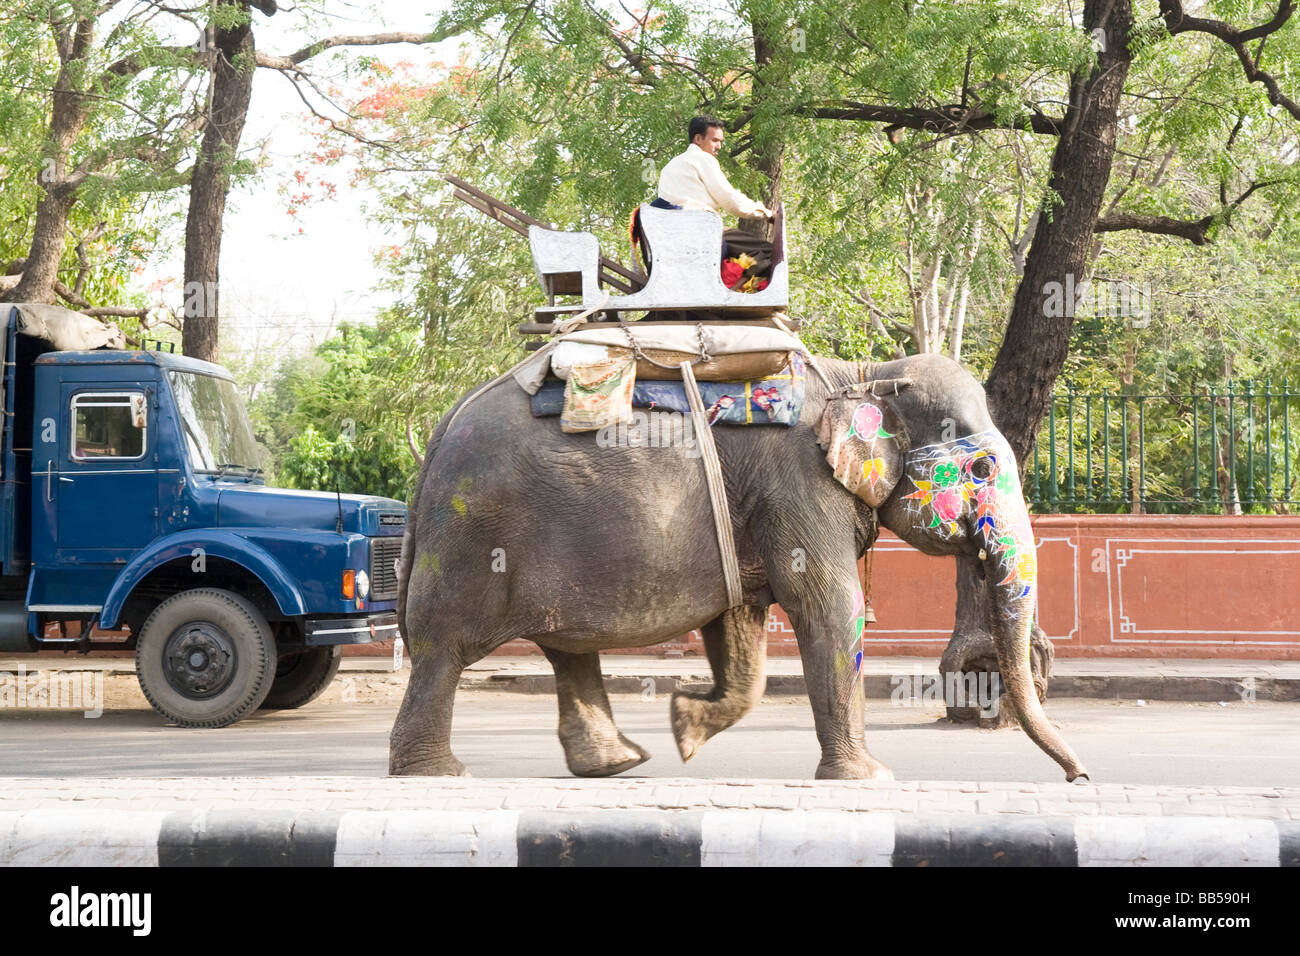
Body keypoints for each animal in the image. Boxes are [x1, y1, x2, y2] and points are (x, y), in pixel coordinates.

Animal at [389, 350, 1089, 782]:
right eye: (983, 469)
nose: (1079, 775)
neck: (865, 374)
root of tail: (440, 434)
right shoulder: (798, 487)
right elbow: (828, 607)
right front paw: (871, 778)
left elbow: (741, 626)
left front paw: (685, 727)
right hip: (472, 539)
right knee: (443, 647)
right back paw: (436, 773)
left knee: (566, 650)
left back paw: (618, 763)